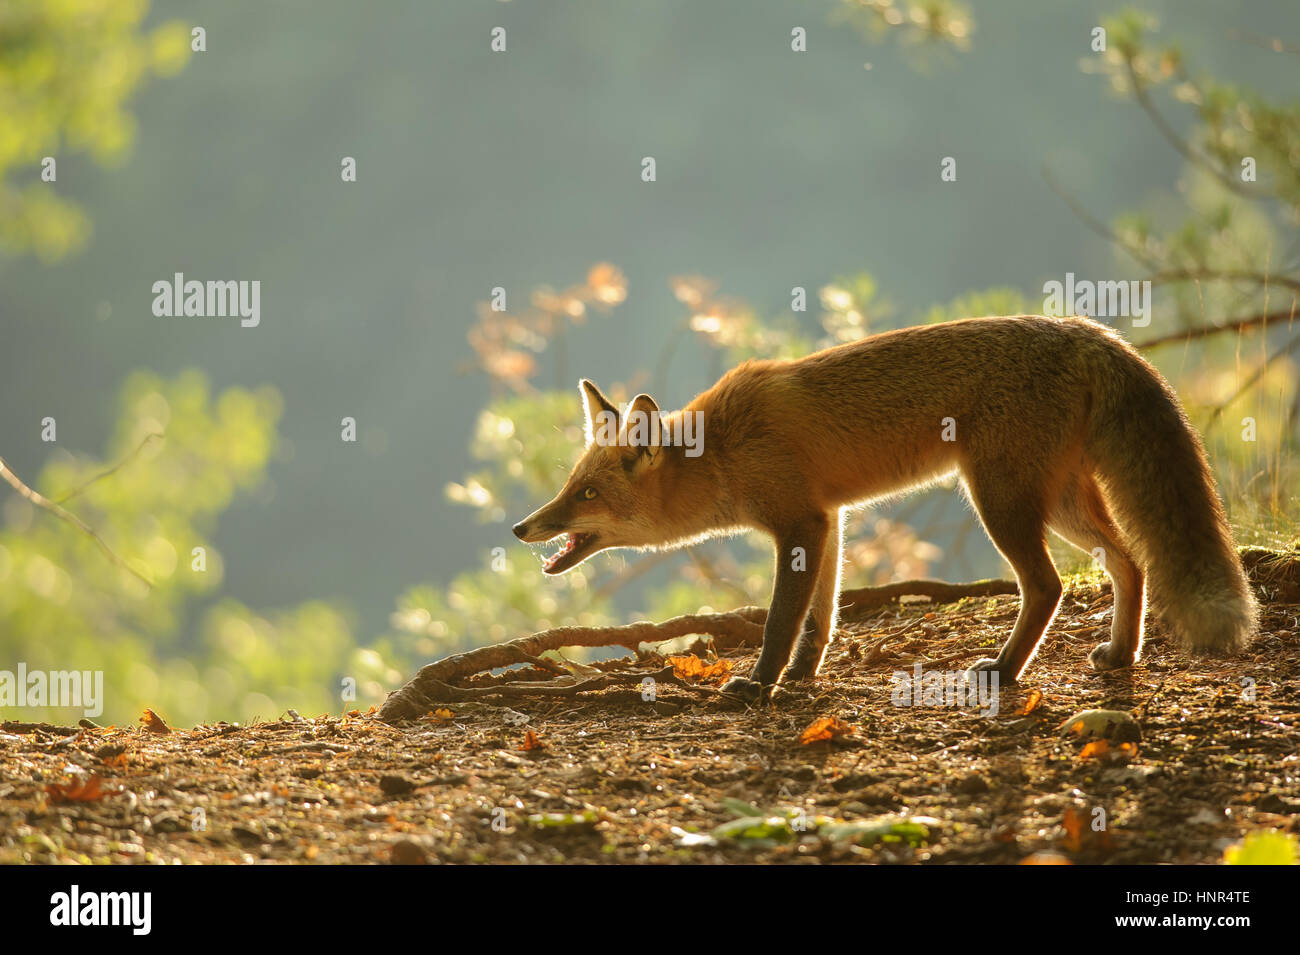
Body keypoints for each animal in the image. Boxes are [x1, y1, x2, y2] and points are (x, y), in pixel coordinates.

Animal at [513, 315, 1257, 704]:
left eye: (585, 495)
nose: (522, 527)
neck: (723, 448)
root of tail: (1084, 327)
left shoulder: (800, 523)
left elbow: (781, 620)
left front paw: (759, 685)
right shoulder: (827, 519)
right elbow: (821, 618)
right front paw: (803, 678)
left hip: (1001, 501)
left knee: (1047, 586)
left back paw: (1005, 671)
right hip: (1064, 501)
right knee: (1130, 562)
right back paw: (1120, 653)